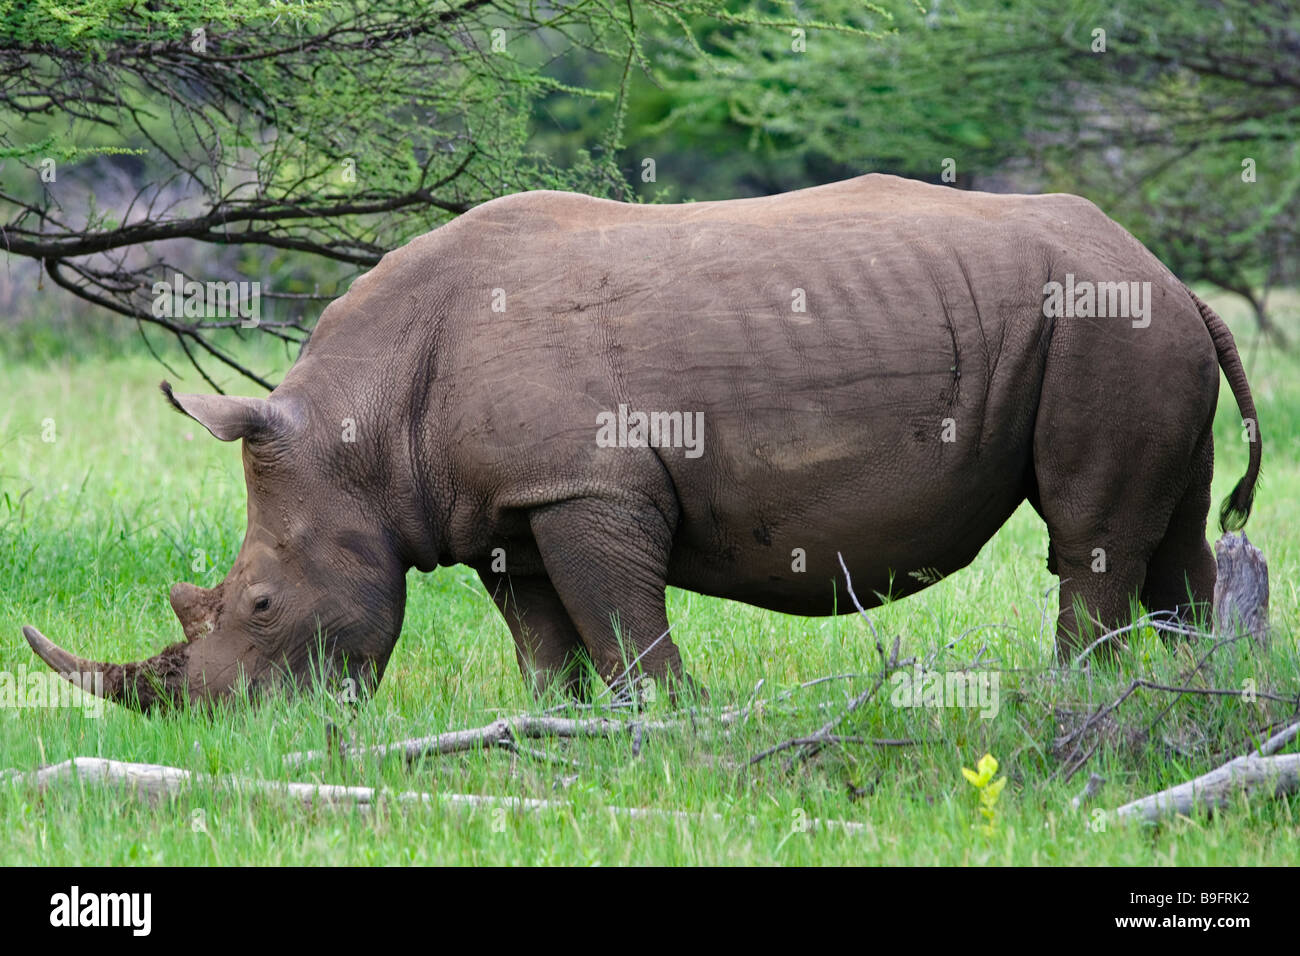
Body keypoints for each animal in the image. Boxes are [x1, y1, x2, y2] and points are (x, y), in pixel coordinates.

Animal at [23, 174, 1261, 711]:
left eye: (262, 603)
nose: (226, 723)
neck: (360, 436)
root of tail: (1172, 278)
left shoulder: (584, 486)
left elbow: (622, 619)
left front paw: (670, 725)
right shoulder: (507, 504)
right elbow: (541, 632)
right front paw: (560, 727)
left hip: (1107, 329)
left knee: (1089, 534)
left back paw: (1073, 700)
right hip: (1135, 328)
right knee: (1173, 538)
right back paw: (1207, 688)